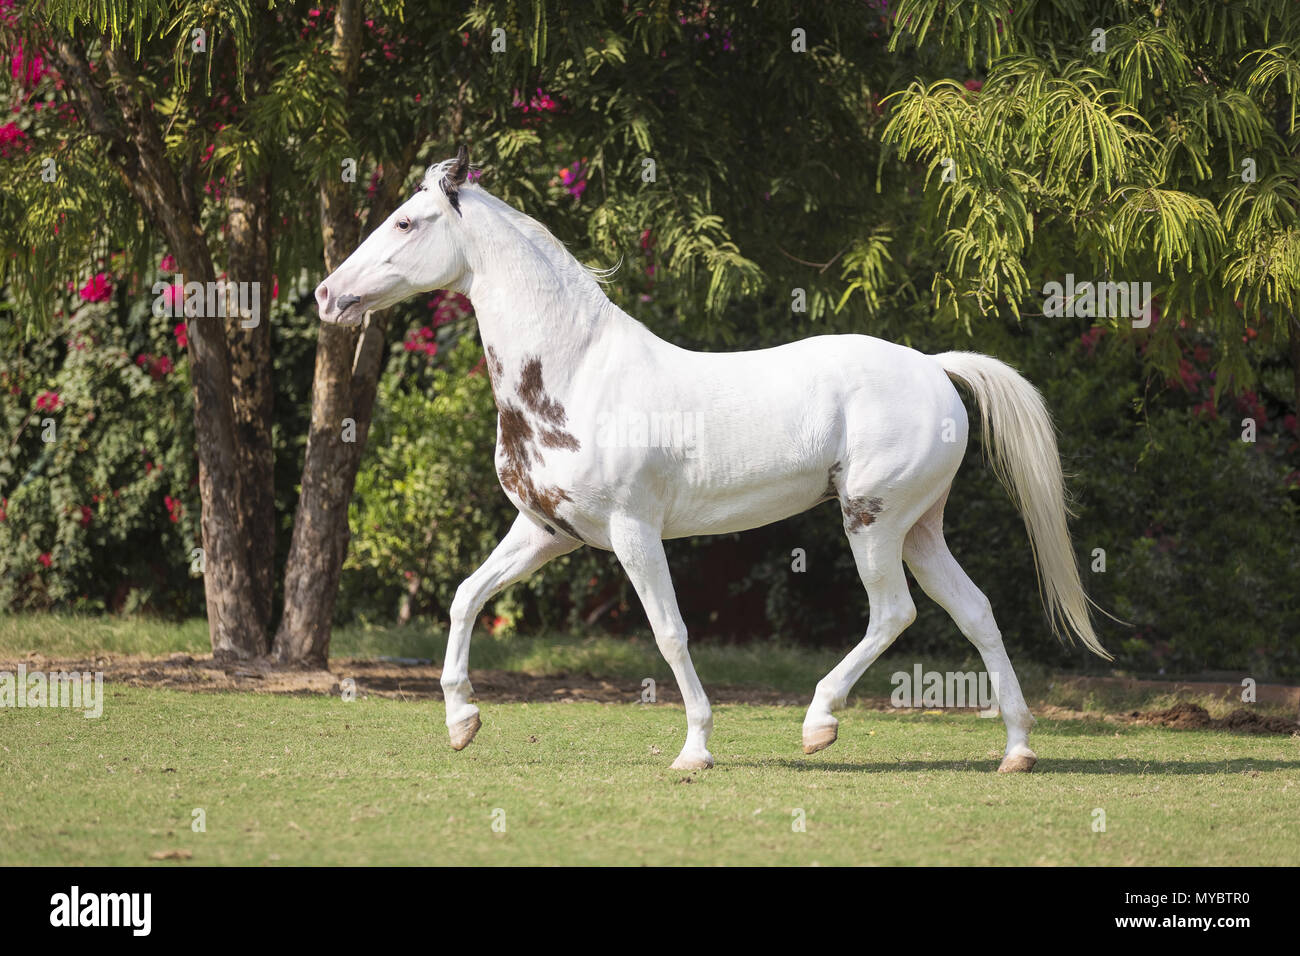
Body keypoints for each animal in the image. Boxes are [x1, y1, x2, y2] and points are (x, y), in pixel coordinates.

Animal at [315, 146, 1110, 773]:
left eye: (406, 222)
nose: (327, 294)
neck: (577, 373)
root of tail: (935, 368)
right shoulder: (546, 533)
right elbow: (465, 597)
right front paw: (462, 723)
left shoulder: (634, 533)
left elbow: (670, 633)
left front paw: (694, 749)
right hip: (919, 528)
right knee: (975, 612)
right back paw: (1016, 750)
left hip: (873, 520)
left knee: (894, 613)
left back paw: (819, 725)